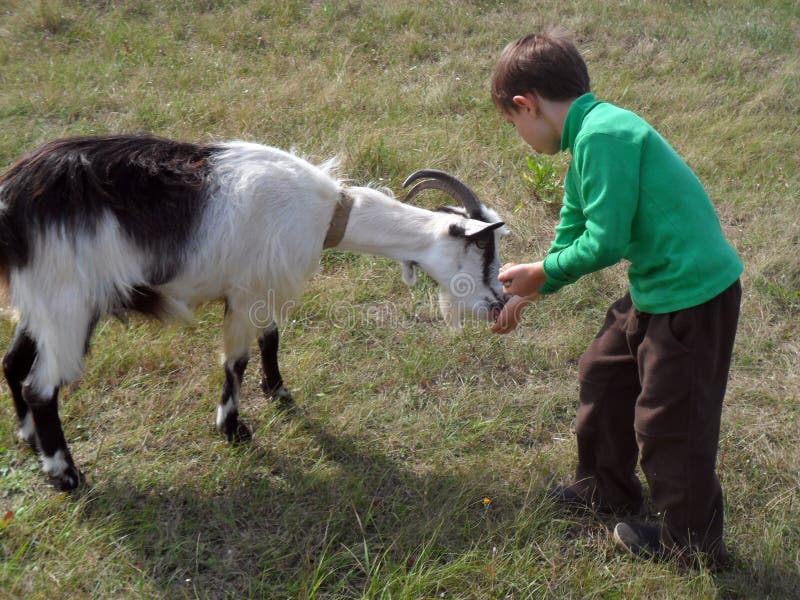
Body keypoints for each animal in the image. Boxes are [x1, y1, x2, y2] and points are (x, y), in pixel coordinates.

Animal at [0, 134, 508, 491]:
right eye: (484, 248)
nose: (499, 303)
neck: (326, 213)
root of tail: (12, 200)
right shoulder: (247, 289)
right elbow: (236, 360)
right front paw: (233, 428)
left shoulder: (266, 286)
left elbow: (271, 337)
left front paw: (278, 391)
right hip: (67, 302)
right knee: (40, 387)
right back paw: (66, 475)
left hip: (40, 301)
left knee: (13, 362)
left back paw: (28, 437)